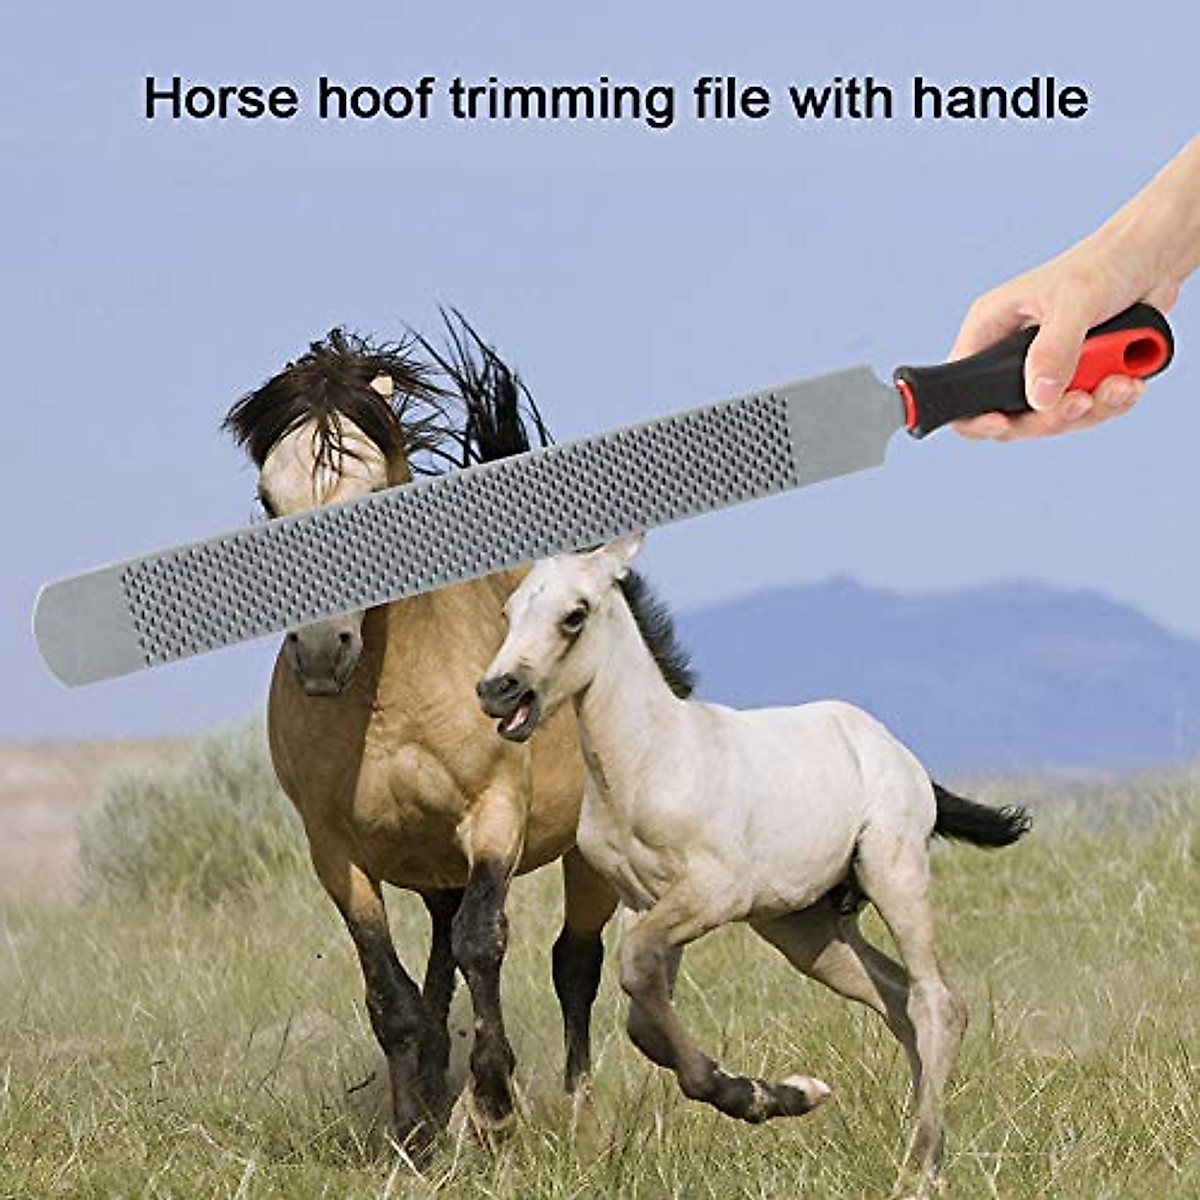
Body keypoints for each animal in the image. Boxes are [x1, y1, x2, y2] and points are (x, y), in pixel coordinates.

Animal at [222, 317, 626, 1150]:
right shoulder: (334, 850)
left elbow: (484, 942)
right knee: (444, 952)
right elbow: (390, 987)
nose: (321, 651)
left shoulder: (495, 817)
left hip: (585, 851)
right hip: (434, 861)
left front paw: (494, 1105)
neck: (391, 699)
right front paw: (415, 1123)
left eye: (373, 492)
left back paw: (578, 1109)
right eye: (268, 499)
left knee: (573, 962)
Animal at [477, 535, 1031, 1194]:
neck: (651, 761)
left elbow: (636, 970)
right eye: (509, 610)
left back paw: (913, 1172)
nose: (497, 689)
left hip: (893, 871)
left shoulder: (714, 894)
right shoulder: (646, 901)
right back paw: (932, 1166)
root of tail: (900, 754)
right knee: (898, 998)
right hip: (806, 929)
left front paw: (756, 1095)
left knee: (938, 1002)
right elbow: (644, 1017)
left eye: (575, 615)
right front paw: (785, 1095)